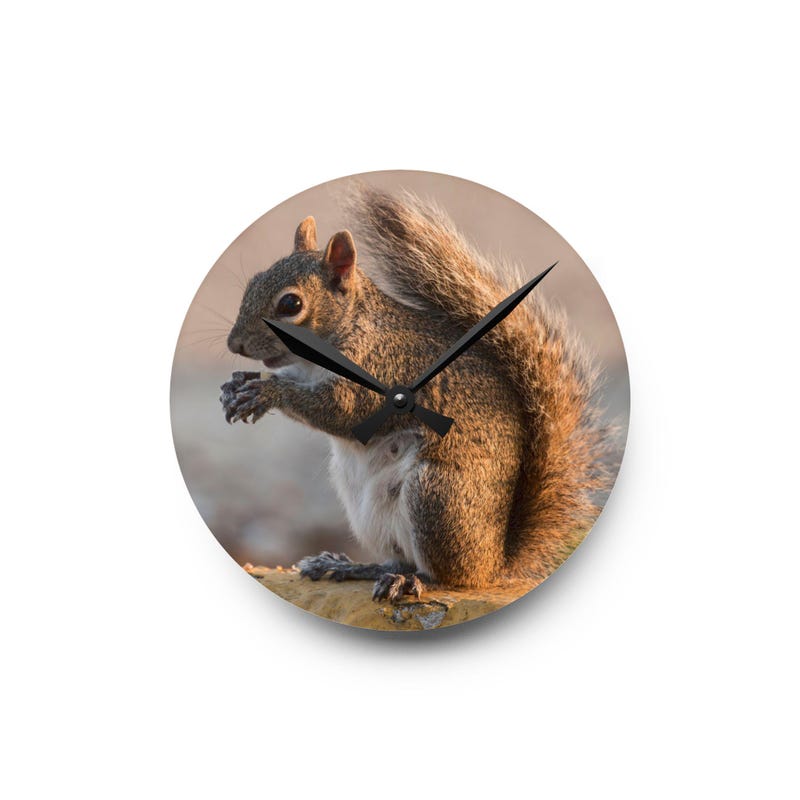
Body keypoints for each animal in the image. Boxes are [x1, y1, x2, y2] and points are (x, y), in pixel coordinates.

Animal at [221, 187, 616, 603]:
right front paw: (239, 387)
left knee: (446, 576)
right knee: (396, 559)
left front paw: (266, 391)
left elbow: (340, 411)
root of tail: (495, 564)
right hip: (371, 514)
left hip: (437, 498)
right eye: (253, 282)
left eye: (291, 304)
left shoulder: (382, 369)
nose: (234, 344)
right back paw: (347, 567)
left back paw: (412, 582)